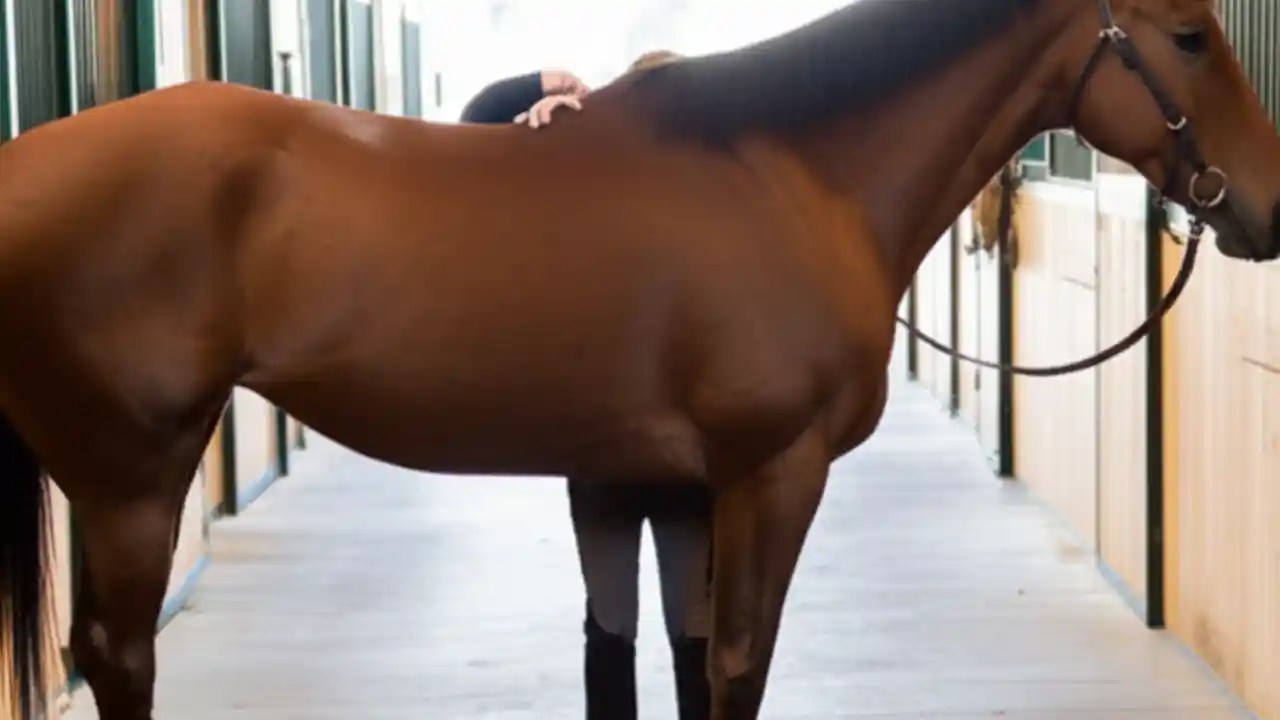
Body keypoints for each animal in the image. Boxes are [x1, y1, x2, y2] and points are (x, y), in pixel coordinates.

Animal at [2, 0, 1278, 718]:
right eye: (1184, 35)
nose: (1263, 211)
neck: (789, 171)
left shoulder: (715, 484)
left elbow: (701, 652)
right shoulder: (774, 470)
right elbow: (741, 664)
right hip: (131, 476)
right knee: (119, 655)